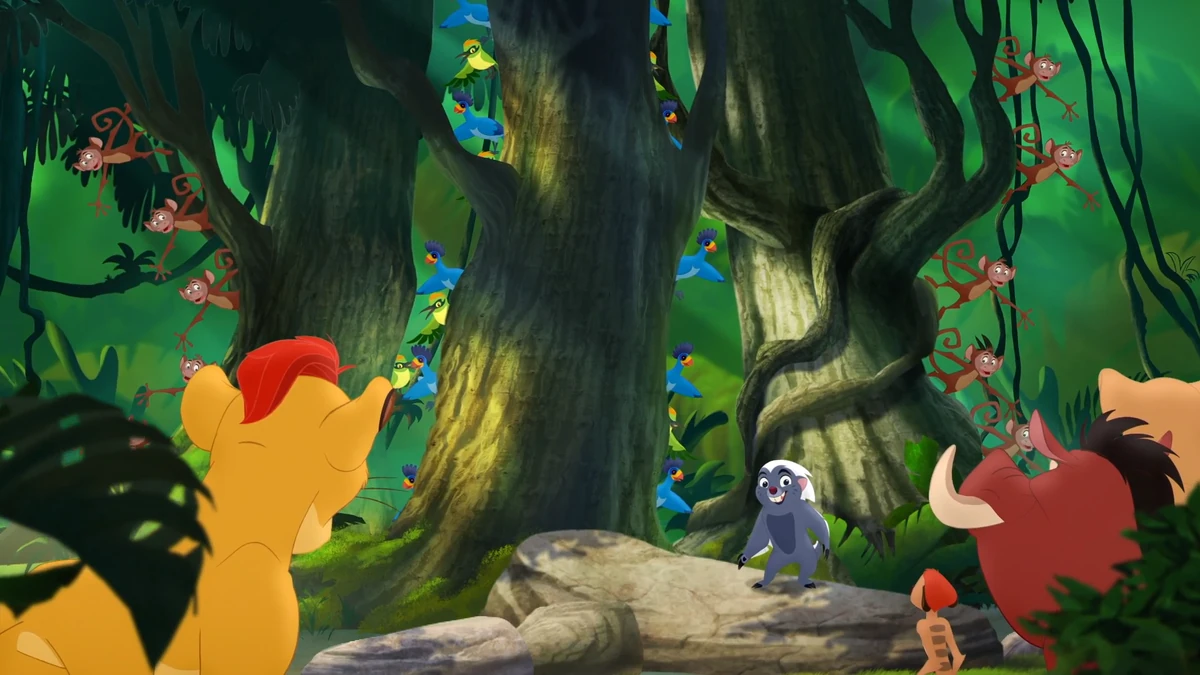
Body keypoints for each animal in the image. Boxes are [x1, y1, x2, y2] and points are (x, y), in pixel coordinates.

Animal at [736, 460, 830, 589]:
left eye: (786, 481)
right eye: (764, 483)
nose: (772, 489)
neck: (780, 509)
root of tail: (792, 559)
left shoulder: (802, 508)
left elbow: (818, 523)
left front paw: (826, 546)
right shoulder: (762, 516)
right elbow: (759, 540)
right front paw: (743, 558)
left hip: (807, 554)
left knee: (808, 566)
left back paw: (805, 581)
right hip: (777, 558)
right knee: (770, 569)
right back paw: (763, 583)